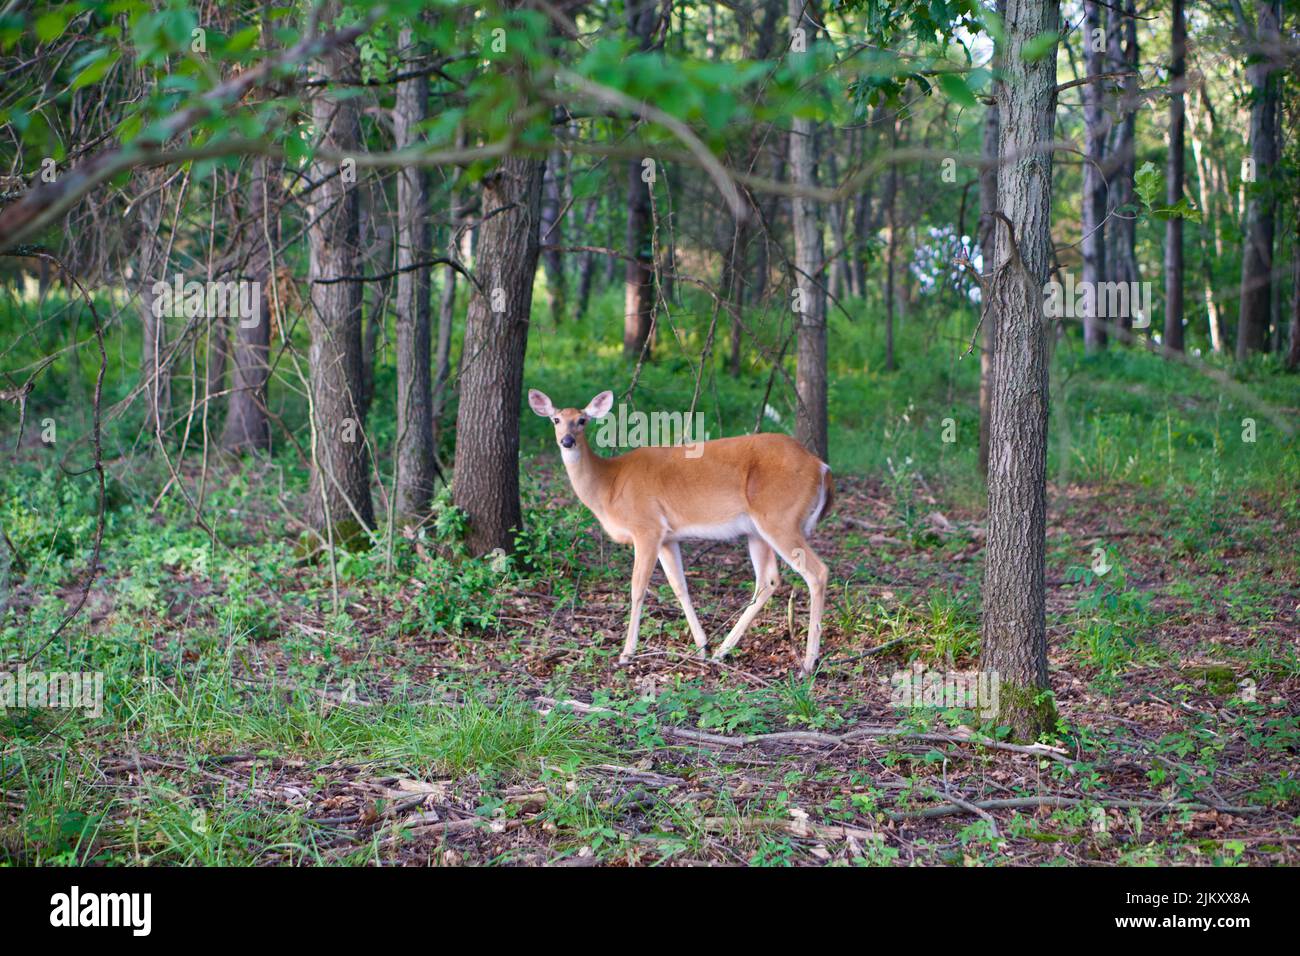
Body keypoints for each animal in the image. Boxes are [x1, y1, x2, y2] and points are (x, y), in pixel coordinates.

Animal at [529, 389, 834, 676]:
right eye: (556, 419)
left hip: (781, 518)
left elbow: (637, 588)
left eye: (582, 420)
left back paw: (808, 663)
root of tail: (821, 467)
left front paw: (627, 653)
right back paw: (721, 651)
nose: (567, 441)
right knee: (768, 580)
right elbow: (680, 587)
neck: (610, 485)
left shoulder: (647, 527)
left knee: (817, 572)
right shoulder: (668, 537)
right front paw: (702, 645)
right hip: (757, 531)